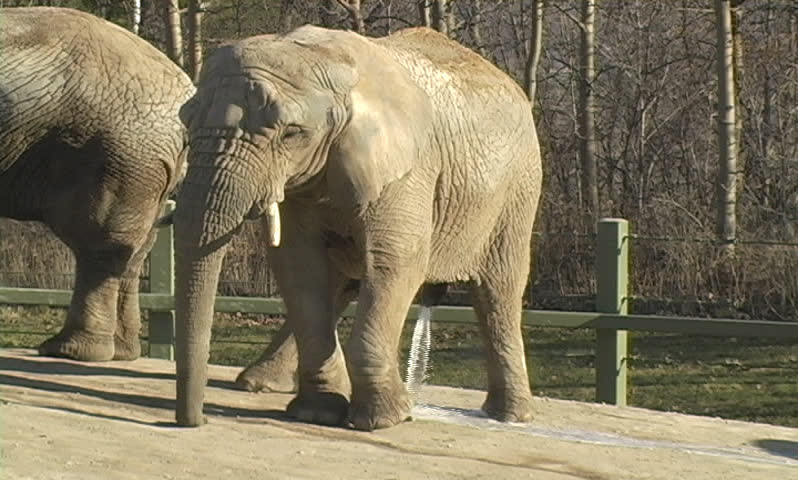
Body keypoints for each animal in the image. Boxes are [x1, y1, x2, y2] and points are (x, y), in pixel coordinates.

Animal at [0, 7, 195, 361]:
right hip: (147, 166)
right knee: (137, 248)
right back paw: (122, 353)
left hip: (117, 152)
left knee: (99, 240)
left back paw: (70, 351)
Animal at [174, 24, 542, 431]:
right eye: (186, 121)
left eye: (292, 134)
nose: (197, 422)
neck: (331, 62)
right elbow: (298, 265)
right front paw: (317, 413)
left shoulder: (408, 170)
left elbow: (394, 262)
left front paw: (384, 420)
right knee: (338, 281)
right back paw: (260, 383)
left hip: (518, 190)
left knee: (499, 291)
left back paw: (509, 415)